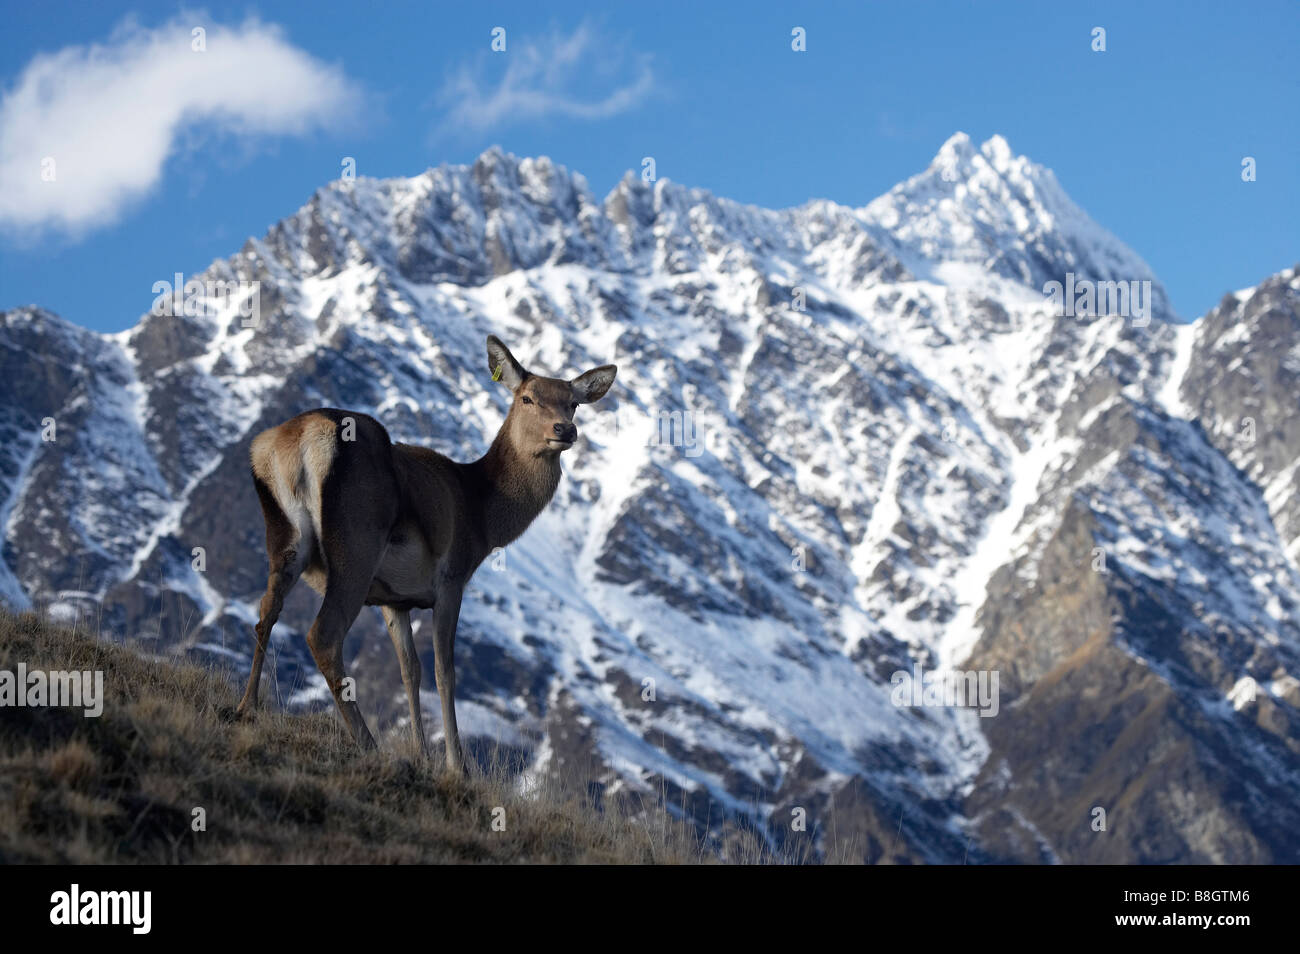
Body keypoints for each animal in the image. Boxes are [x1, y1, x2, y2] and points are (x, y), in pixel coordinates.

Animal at [234, 335, 617, 774]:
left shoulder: (393, 598)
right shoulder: (451, 579)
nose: (565, 429)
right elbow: (444, 670)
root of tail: (297, 437)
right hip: (356, 544)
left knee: (266, 613)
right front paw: (457, 765)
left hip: (284, 537)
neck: (482, 515)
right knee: (323, 635)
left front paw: (420, 752)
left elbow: (410, 669)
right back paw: (367, 743)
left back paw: (246, 707)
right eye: (527, 398)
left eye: (572, 403)